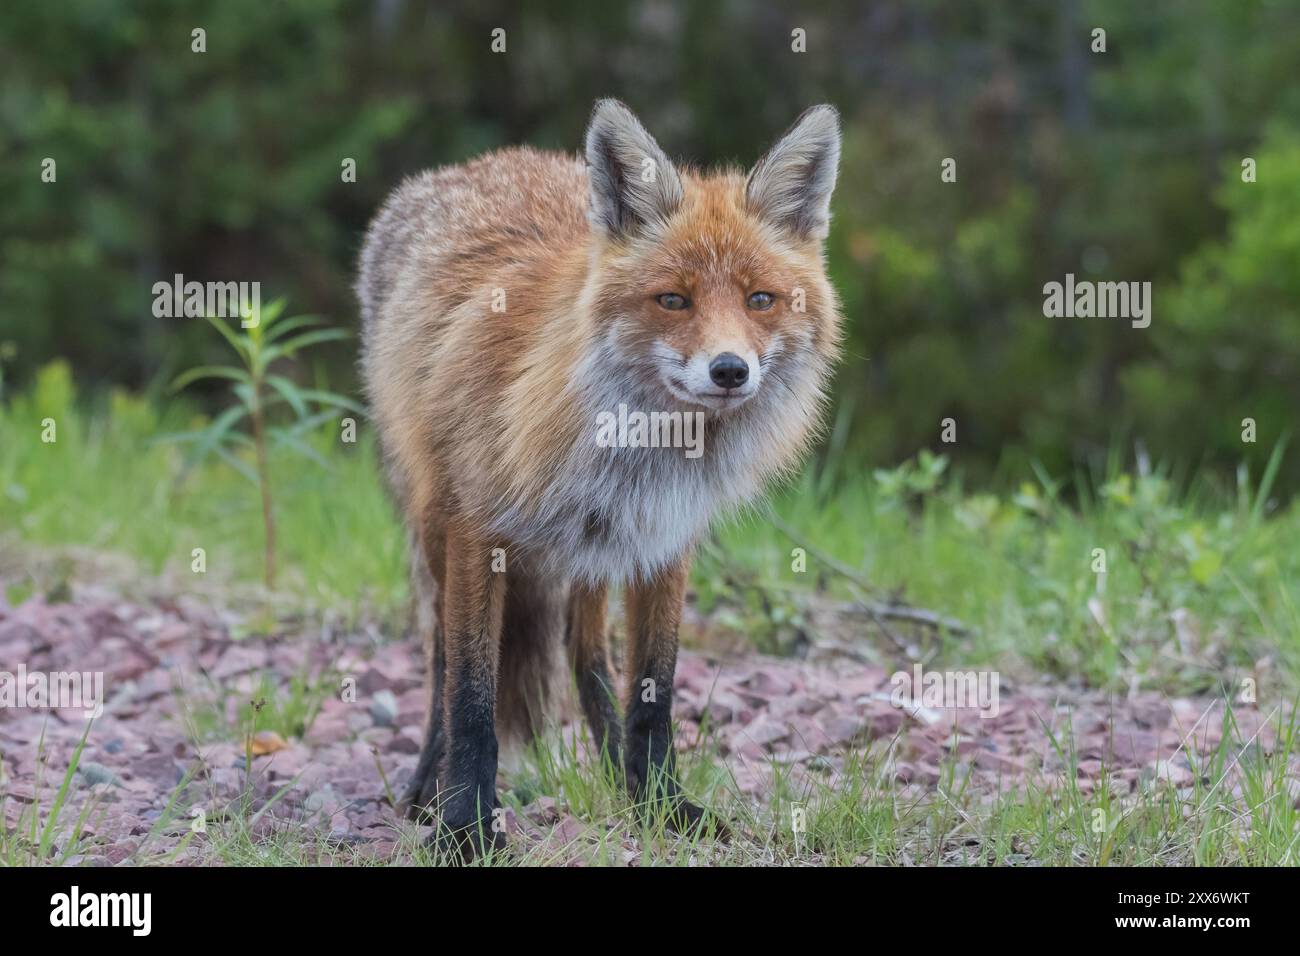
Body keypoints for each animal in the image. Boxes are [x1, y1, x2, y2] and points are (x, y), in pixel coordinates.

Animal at [356, 99, 843, 854]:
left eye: (760, 300)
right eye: (673, 300)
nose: (730, 370)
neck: (643, 458)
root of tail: (489, 160)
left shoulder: (664, 542)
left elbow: (654, 693)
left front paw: (663, 806)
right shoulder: (475, 529)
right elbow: (471, 698)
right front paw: (465, 828)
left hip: (590, 555)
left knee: (587, 655)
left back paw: (619, 778)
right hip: (435, 528)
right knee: (439, 662)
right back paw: (424, 790)